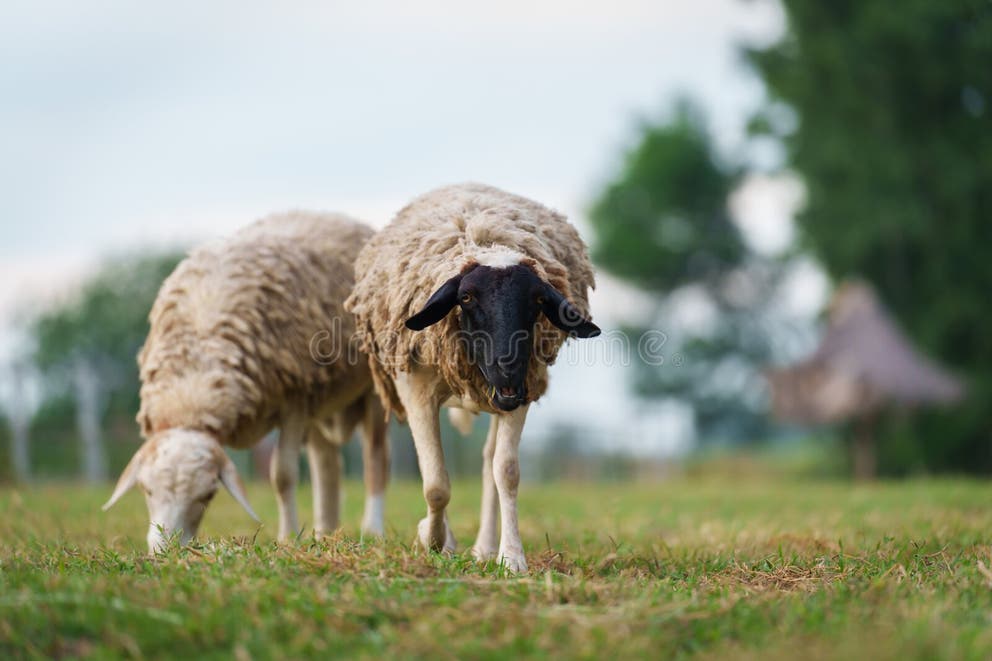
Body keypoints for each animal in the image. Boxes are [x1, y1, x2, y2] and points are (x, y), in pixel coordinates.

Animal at [102, 211, 389, 553]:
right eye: (146, 490)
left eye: (208, 495)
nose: (165, 551)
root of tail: (341, 217)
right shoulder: (306, 397)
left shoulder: (294, 400)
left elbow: (283, 475)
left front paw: (288, 536)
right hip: (322, 399)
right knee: (327, 463)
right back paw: (325, 532)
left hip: (373, 388)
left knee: (375, 456)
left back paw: (372, 528)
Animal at [345, 183, 599, 572]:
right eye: (465, 297)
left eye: (538, 300)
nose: (507, 367)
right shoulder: (416, 390)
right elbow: (436, 483)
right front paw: (433, 540)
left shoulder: (521, 389)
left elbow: (506, 471)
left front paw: (511, 558)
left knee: (487, 461)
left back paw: (484, 547)